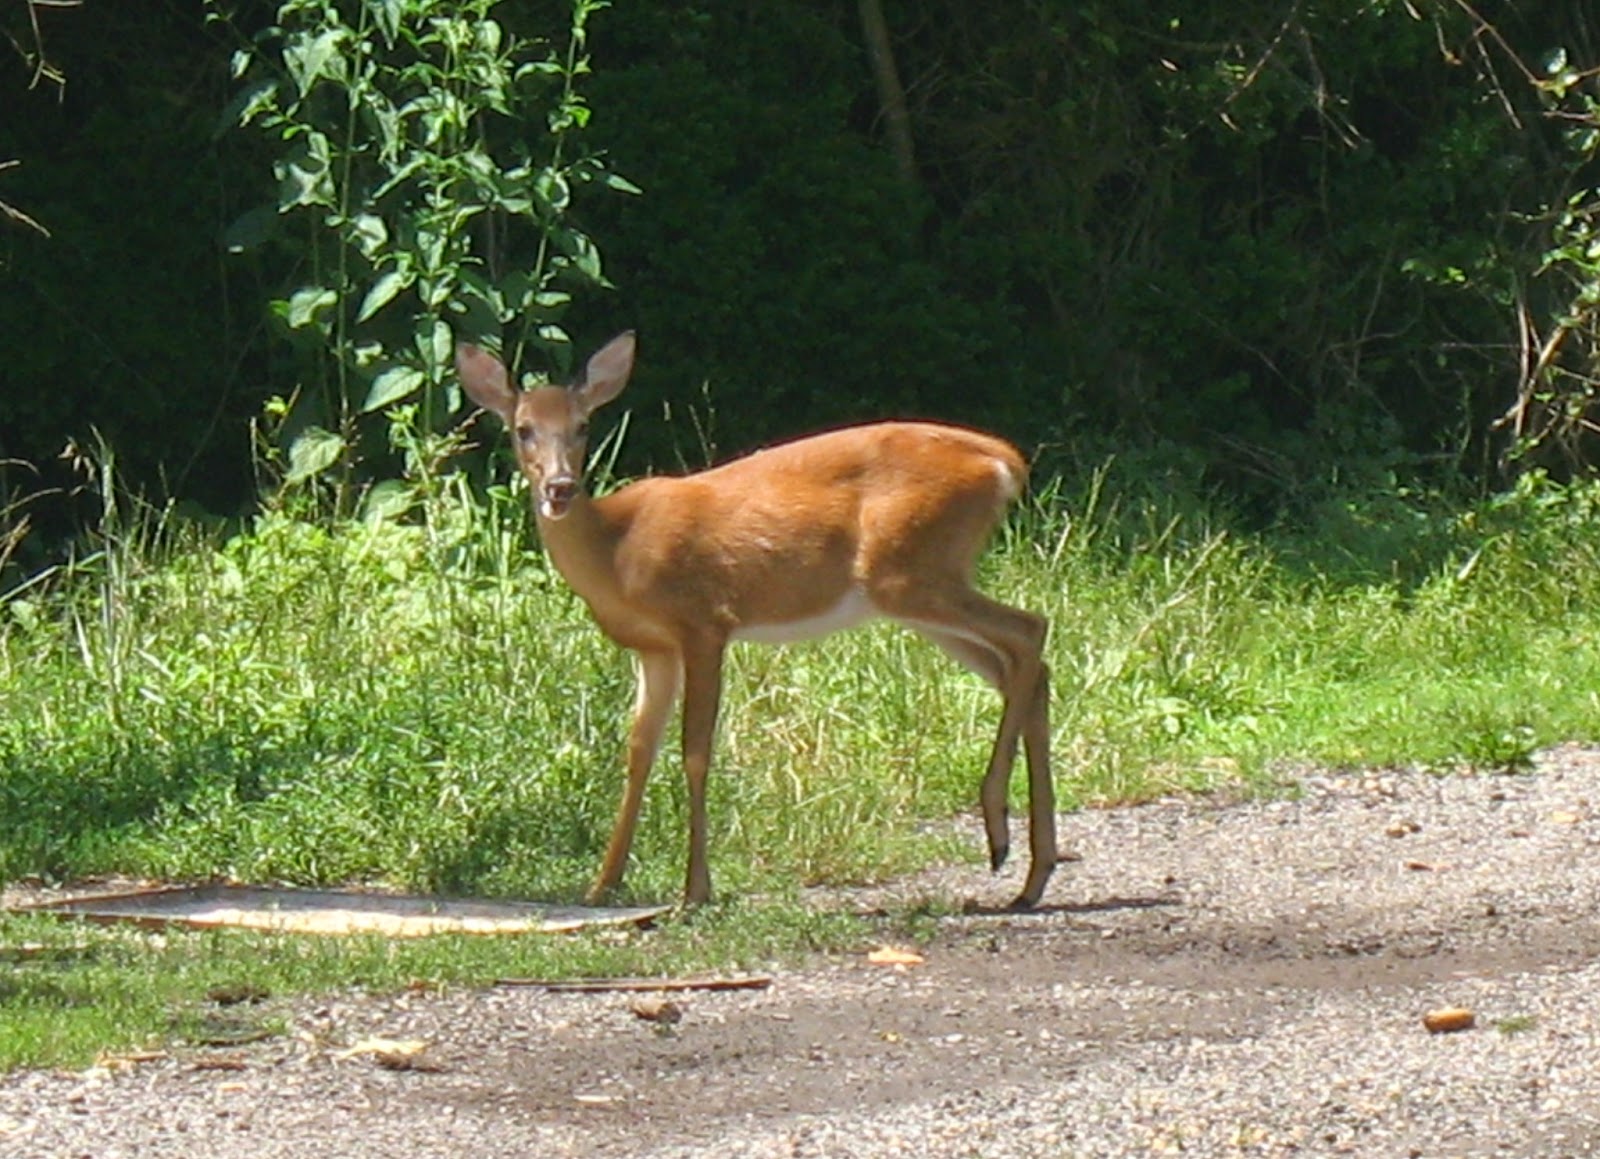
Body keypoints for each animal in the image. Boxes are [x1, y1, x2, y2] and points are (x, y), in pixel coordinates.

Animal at [456, 331, 1058, 909]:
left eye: (582, 426)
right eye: (523, 429)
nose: (559, 488)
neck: (616, 551)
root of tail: (1003, 461)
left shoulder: (703, 621)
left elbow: (695, 750)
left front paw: (695, 890)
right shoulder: (654, 648)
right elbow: (638, 751)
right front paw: (602, 886)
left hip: (909, 572)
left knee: (1030, 628)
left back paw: (1000, 830)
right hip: (921, 587)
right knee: (1023, 666)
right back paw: (1034, 874)